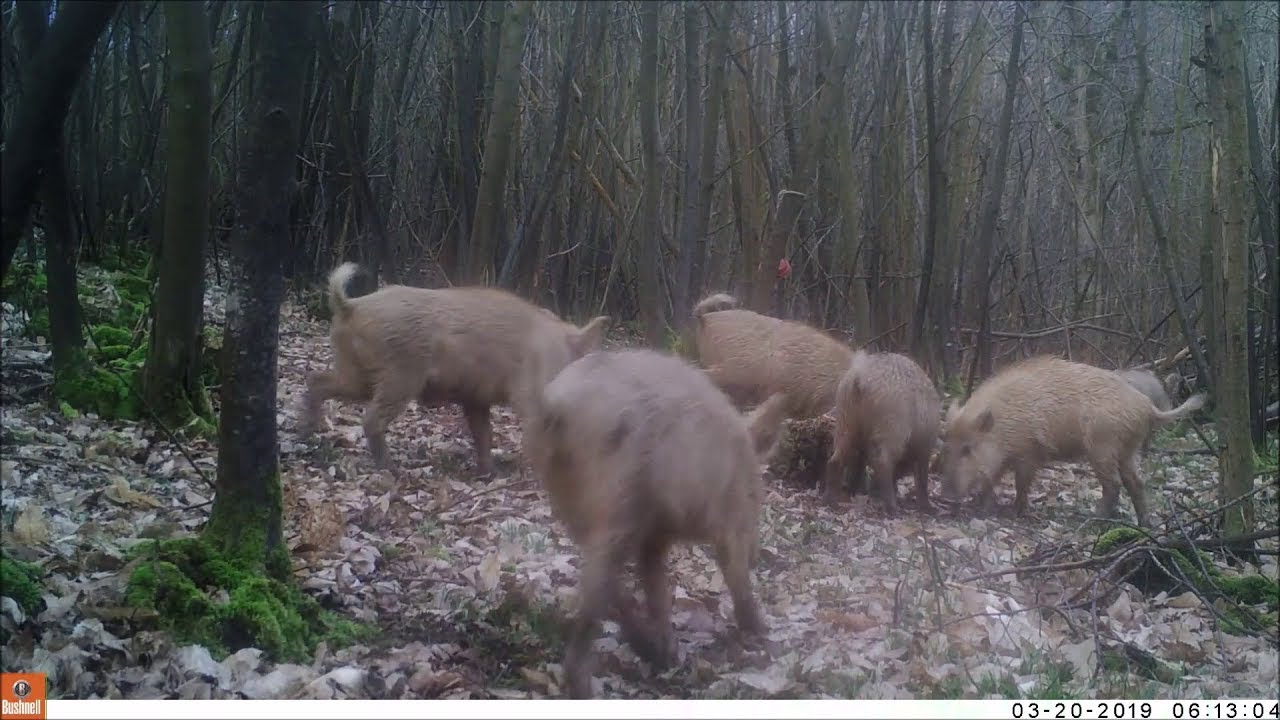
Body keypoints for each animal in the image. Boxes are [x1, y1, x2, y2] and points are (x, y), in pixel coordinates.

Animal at [298, 262, 609, 477]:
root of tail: (351, 305)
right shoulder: (527, 393)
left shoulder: (476, 399)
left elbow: (483, 433)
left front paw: (489, 473)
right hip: (400, 375)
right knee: (371, 418)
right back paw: (392, 470)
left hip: (356, 372)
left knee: (317, 380)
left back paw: (309, 432)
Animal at [521, 348, 789, 699]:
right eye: (757, 495)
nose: (759, 555)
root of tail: (555, 406)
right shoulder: (728, 522)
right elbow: (733, 570)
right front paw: (759, 631)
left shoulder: (655, 534)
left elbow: (655, 583)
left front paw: (669, 650)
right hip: (618, 499)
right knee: (595, 596)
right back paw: (588, 687)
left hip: (565, 496)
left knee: (603, 578)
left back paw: (654, 654)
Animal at [825, 350, 941, 514]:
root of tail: (859, 377)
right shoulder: (924, 447)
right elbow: (922, 475)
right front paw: (928, 508)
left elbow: (859, 461)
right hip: (892, 426)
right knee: (882, 461)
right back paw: (892, 508)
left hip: (844, 420)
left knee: (835, 459)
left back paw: (831, 500)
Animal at [939, 356, 1207, 527]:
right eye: (946, 446)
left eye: (967, 448)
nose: (946, 495)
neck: (1004, 426)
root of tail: (1148, 407)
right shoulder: (1004, 458)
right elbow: (991, 479)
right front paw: (982, 506)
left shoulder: (1030, 452)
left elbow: (1021, 482)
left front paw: (1016, 512)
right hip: (1127, 449)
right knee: (1136, 482)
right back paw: (1145, 523)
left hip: (1102, 446)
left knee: (1114, 484)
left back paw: (1091, 519)